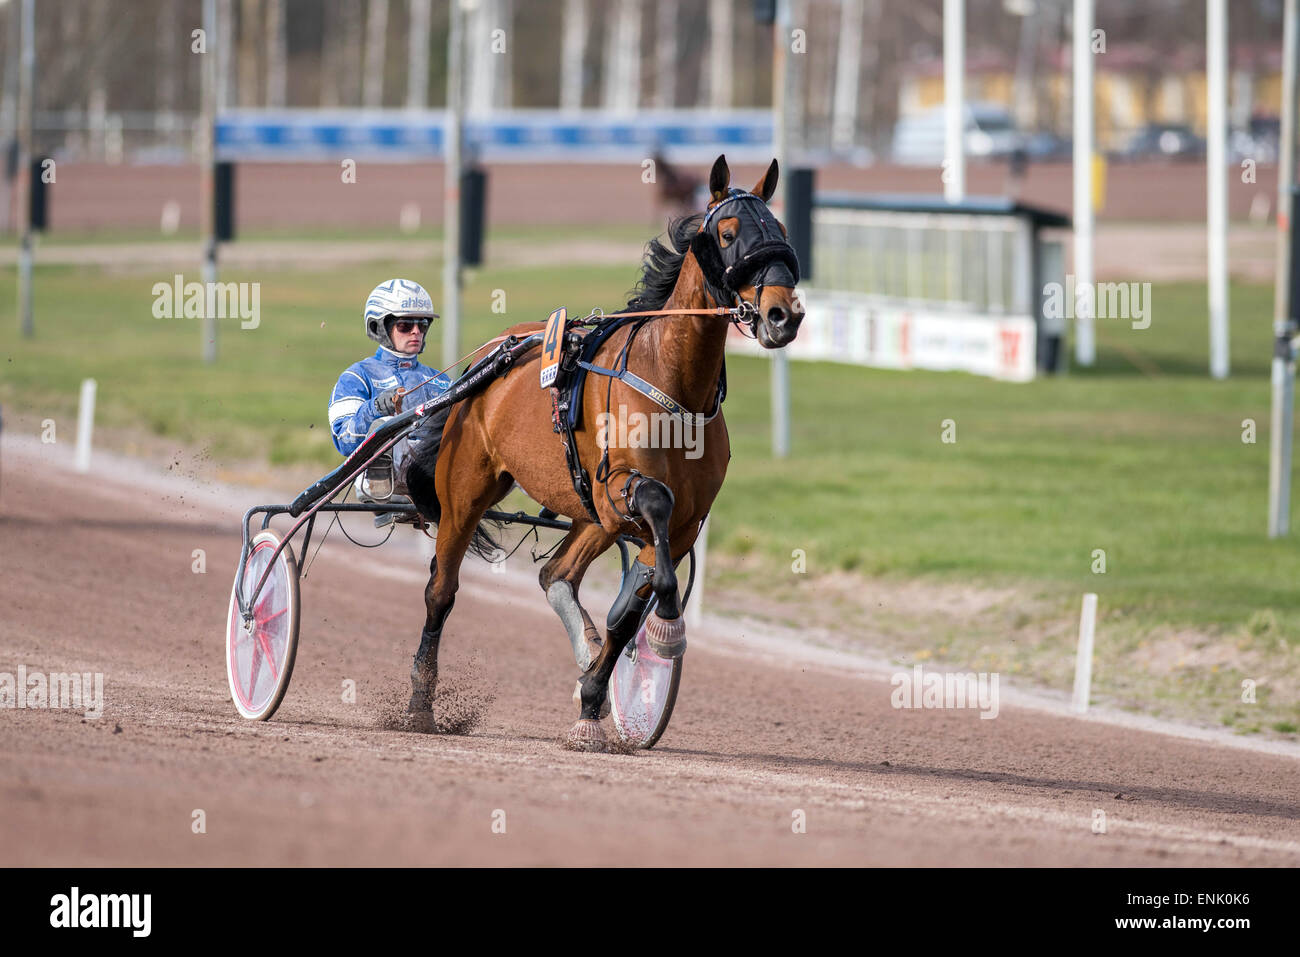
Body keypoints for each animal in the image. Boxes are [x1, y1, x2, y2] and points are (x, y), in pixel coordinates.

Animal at [403, 154, 804, 751]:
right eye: (729, 233)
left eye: (779, 231)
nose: (784, 315)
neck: (674, 384)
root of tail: (492, 357)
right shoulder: (624, 487)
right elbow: (656, 553)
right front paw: (665, 630)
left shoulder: (682, 522)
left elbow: (633, 604)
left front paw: (594, 698)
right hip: (467, 493)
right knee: (441, 591)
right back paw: (419, 703)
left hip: (589, 513)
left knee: (556, 576)